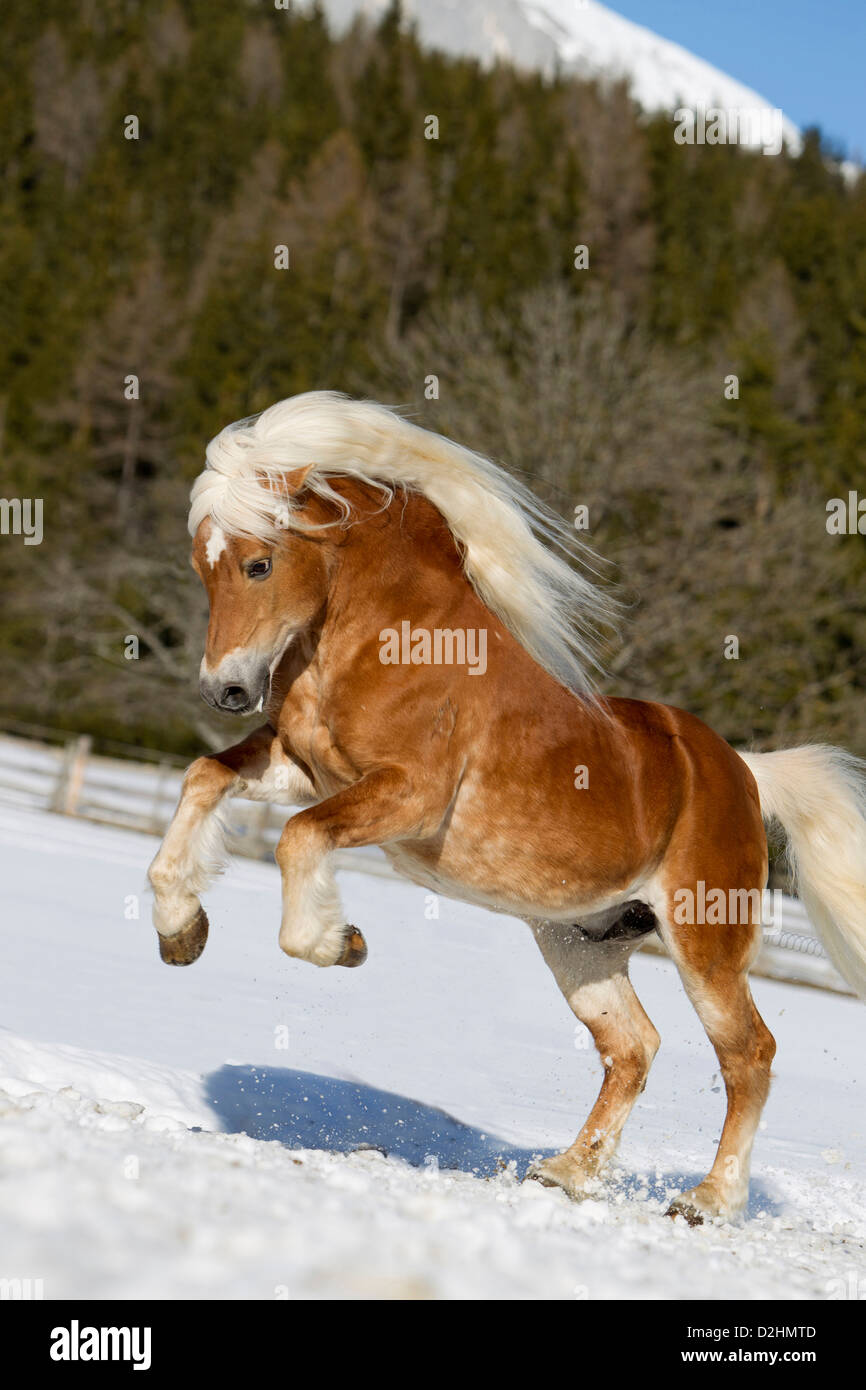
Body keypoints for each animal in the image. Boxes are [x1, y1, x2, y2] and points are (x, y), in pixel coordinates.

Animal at [148, 390, 866, 1224]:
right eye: (202, 568)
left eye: (258, 562)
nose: (225, 691)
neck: (393, 641)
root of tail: (745, 773)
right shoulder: (301, 769)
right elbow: (204, 777)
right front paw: (181, 930)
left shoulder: (408, 797)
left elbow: (296, 841)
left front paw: (339, 943)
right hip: (579, 943)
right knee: (633, 1048)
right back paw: (566, 1172)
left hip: (704, 939)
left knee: (749, 1053)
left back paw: (708, 1200)